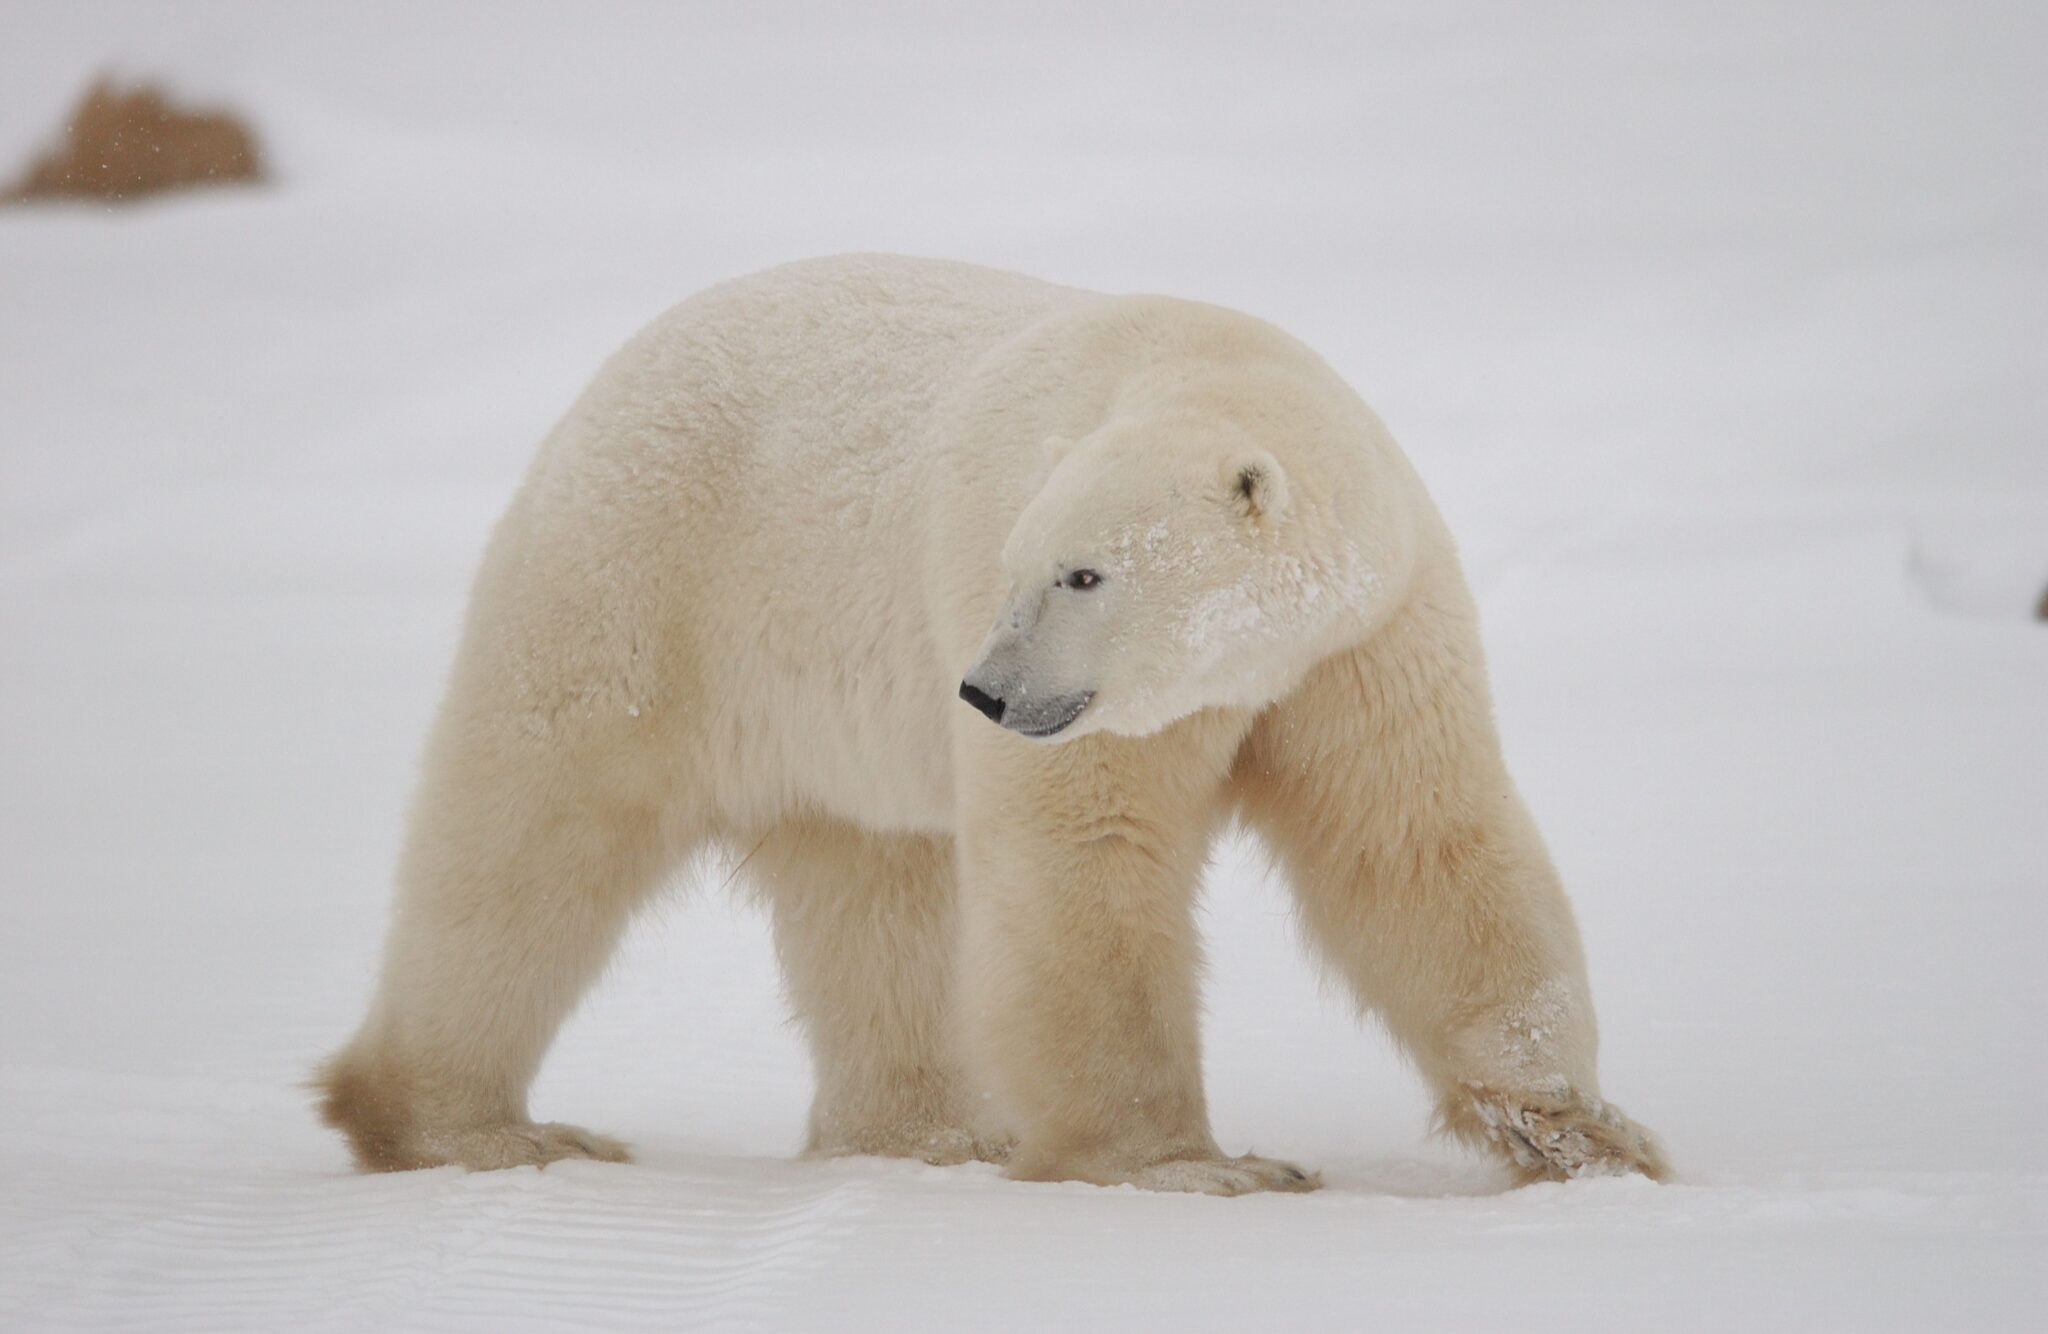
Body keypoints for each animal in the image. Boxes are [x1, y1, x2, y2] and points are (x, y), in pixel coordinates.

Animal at [317, 254, 1667, 1193]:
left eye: (1083, 574)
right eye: (1023, 567)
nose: (984, 692)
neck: (1200, 357)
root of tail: (608, 376)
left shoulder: (1359, 641)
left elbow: (1417, 846)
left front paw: (1582, 1134)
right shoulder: (1088, 677)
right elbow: (1088, 865)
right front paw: (1193, 1162)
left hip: (821, 716)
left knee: (874, 892)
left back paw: (929, 1129)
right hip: (643, 578)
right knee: (527, 839)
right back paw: (476, 1126)